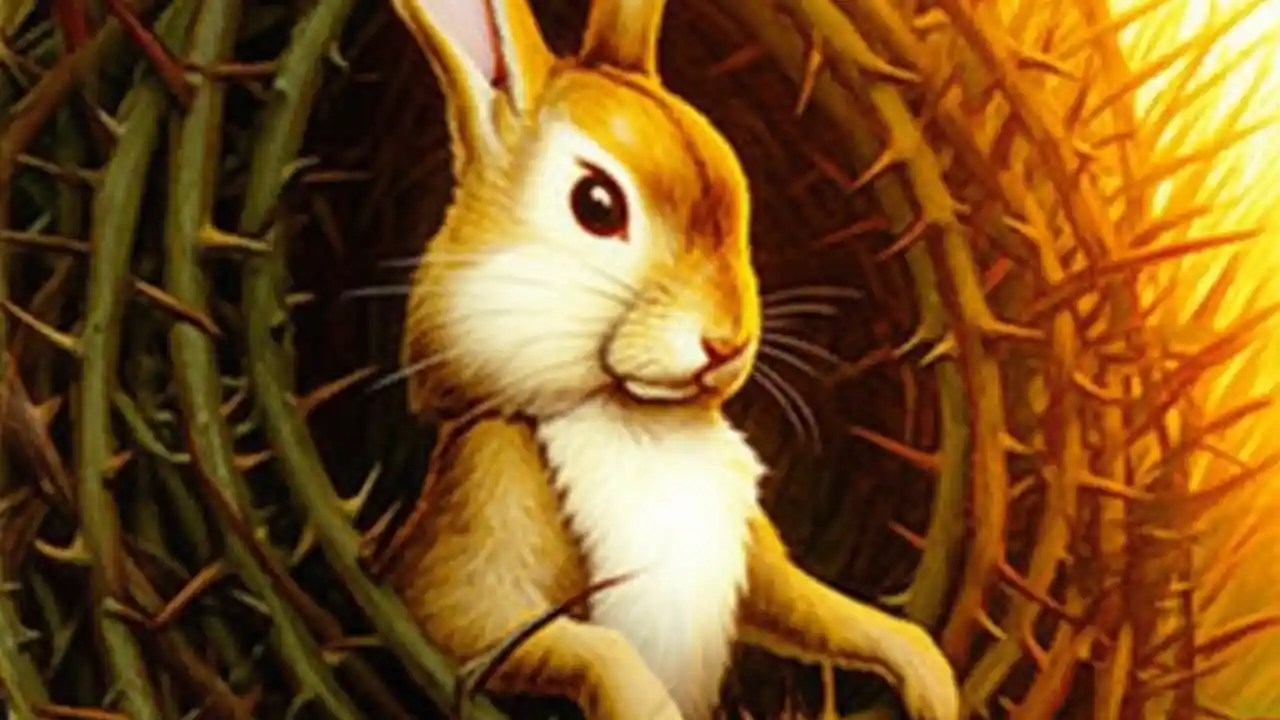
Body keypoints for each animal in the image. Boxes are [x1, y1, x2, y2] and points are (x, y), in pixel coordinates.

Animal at [380, 0, 961, 718]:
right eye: (596, 205)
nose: (727, 343)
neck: (641, 420)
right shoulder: (469, 578)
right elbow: (583, 646)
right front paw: (648, 706)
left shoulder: (754, 567)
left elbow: (823, 611)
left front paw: (933, 681)